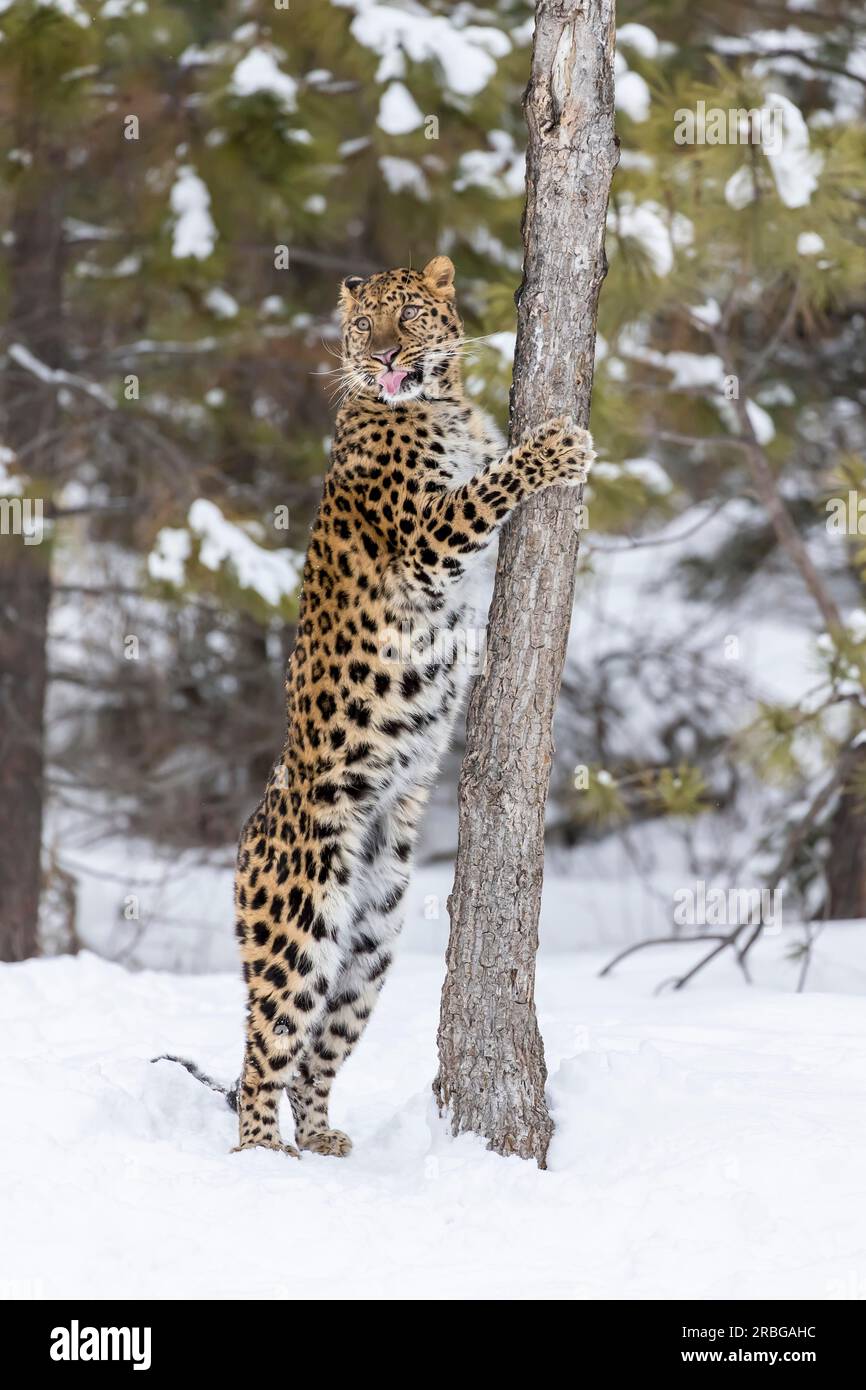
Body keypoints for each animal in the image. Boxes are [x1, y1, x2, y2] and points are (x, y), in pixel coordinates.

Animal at [156, 256, 594, 1158]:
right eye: (364, 328)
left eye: (409, 316)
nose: (386, 355)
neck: (438, 401)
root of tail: (245, 846)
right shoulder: (426, 539)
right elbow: (491, 485)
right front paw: (559, 445)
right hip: (297, 928)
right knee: (262, 1049)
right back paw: (263, 1160)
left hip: (373, 940)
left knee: (315, 1054)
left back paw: (324, 1140)